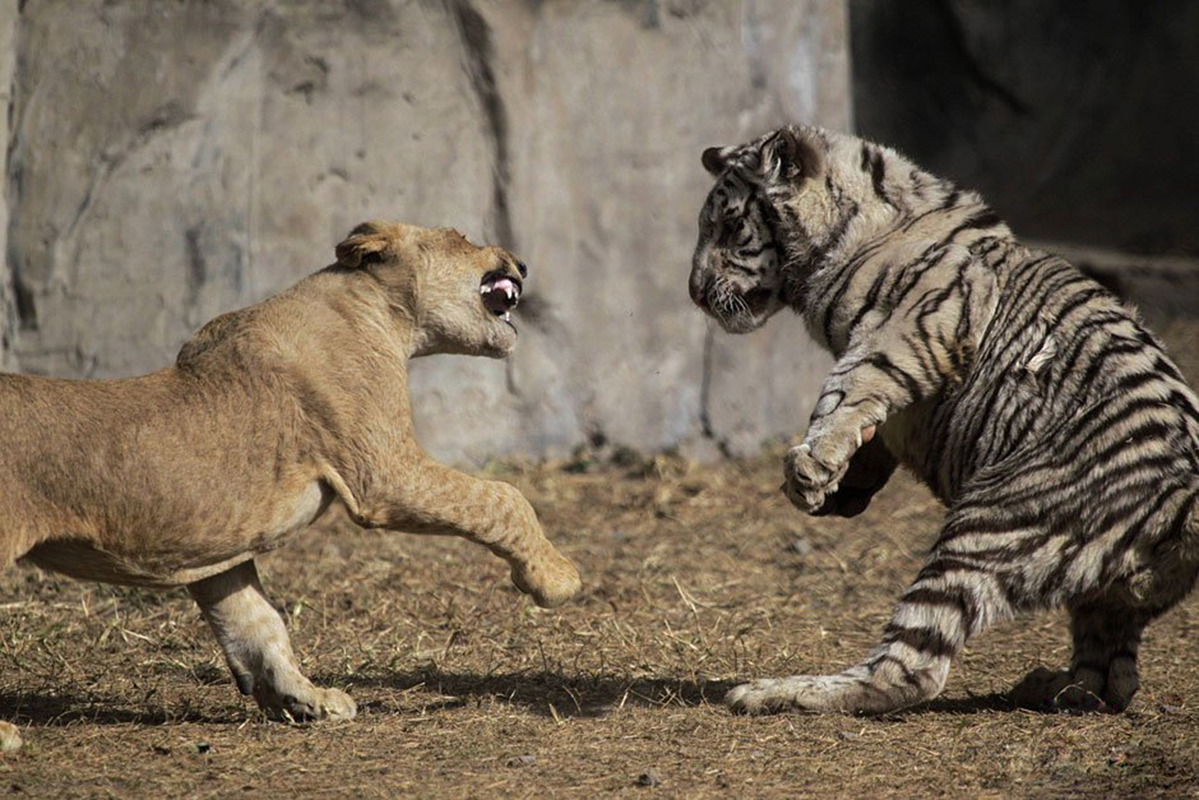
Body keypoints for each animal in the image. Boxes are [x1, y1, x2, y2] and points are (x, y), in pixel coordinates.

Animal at [0, 221, 582, 751]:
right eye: (461, 236)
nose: (522, 262)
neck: (377, 312)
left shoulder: (217, 545)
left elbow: (256, 624)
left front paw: (307, 700)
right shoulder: (384, 474)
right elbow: (502, 498)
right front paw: (556, 579)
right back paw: (7, 734)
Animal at [689, 124, 1199, 715]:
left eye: (729, 227)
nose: (694, 292)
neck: (853, 232)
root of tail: (1183, 496)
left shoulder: (922, 317)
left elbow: (849, 385)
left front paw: (809, 469)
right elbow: (868, 417)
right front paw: (840, 486)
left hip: (986, 529)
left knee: (909, 670)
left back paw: (777, 692)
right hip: (1099, 601)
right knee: (1110, 677)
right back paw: (1050, 685)